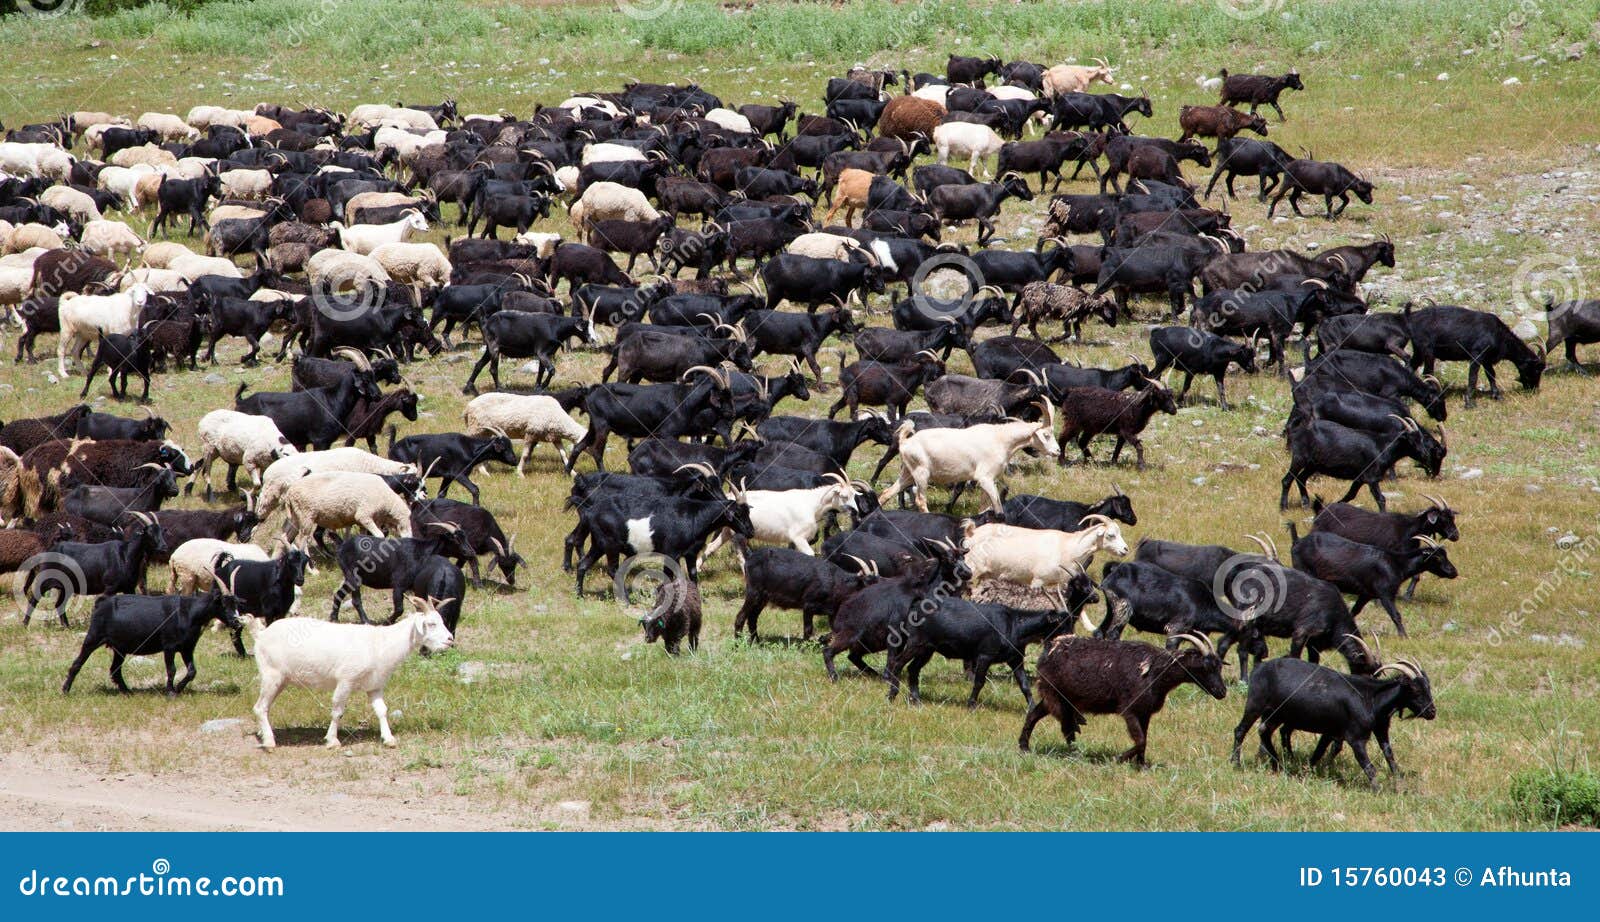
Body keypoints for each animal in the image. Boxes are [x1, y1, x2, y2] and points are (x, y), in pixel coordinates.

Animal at [249, 595, 454, 749]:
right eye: (431, 624)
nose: (450, 640)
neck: (381, 644)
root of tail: (261, 634)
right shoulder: (346, 680)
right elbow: (337, 711)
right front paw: (332, 740)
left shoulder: (375, 686)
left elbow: (382, 710)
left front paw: (389, 739)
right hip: (271, 674)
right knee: (259, 707)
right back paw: (269, 742)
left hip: (281, 679)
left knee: (264, 707)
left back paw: (263, 733)